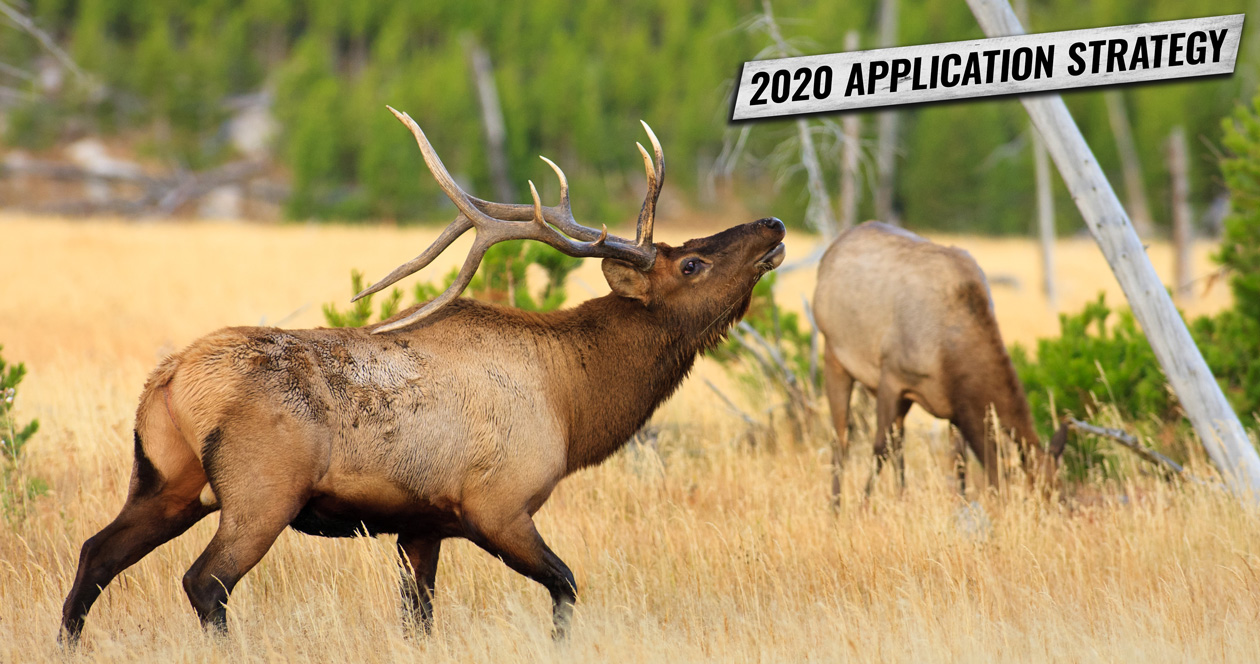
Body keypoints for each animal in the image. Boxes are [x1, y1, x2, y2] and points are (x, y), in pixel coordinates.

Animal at [59, 107, 787, 645]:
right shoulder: (499, 505)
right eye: (691, 262)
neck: (575, 403)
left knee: (95, 553)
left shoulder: (421, 524)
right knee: (204, 582)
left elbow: (420, 621)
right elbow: (566, 587)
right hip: (261, 491)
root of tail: (167, 379)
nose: (774, 222)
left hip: (167, 481)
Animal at [813, 222, 1064, 505]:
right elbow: (879, 446)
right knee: (841, 436)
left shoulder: (953, 404)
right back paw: (836, 504)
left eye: (1062, 492)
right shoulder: (890, 376)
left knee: (899, 441)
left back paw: (901, 496)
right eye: (1032, 498)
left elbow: (959, 460)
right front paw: (863, 504)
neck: (948, 356)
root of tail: (830, 252)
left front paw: (961, 501)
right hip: (834, 354)